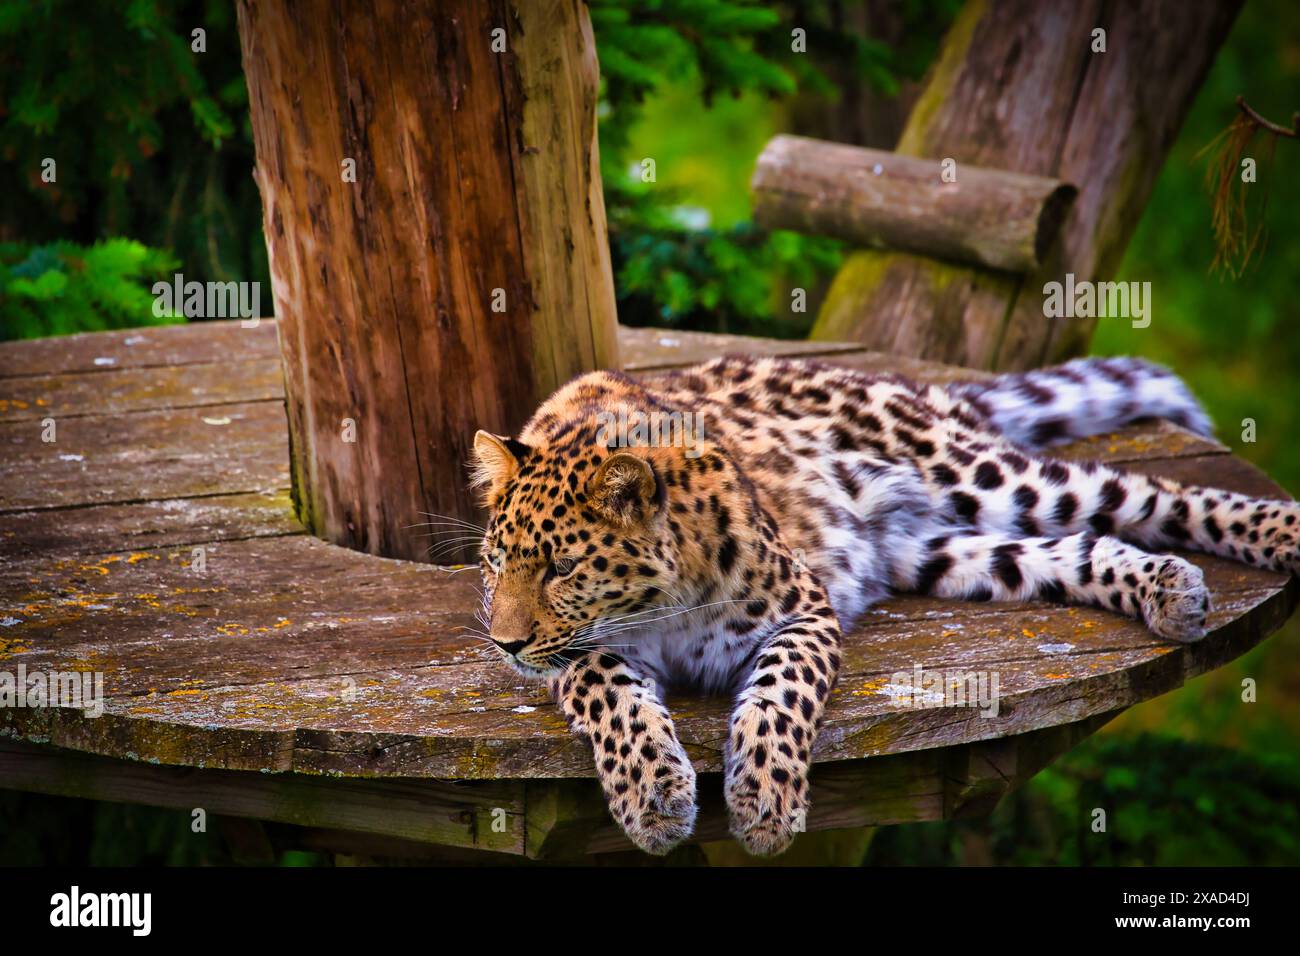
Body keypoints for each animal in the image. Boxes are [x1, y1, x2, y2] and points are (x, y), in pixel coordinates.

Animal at [467, 354, 1299, 858]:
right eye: (496, 564)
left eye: (563, 568)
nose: (504, 646)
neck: (660, 608)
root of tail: (898, 384)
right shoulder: (582, 656)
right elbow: (610, 694)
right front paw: (655, 794)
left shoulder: (802, 608)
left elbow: (778, 698)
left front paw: (764, 803)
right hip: (941, 550)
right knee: (1078, 548)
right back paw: (1168, 588)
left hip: (978, 473)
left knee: (1147, 493)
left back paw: (1277, 535)